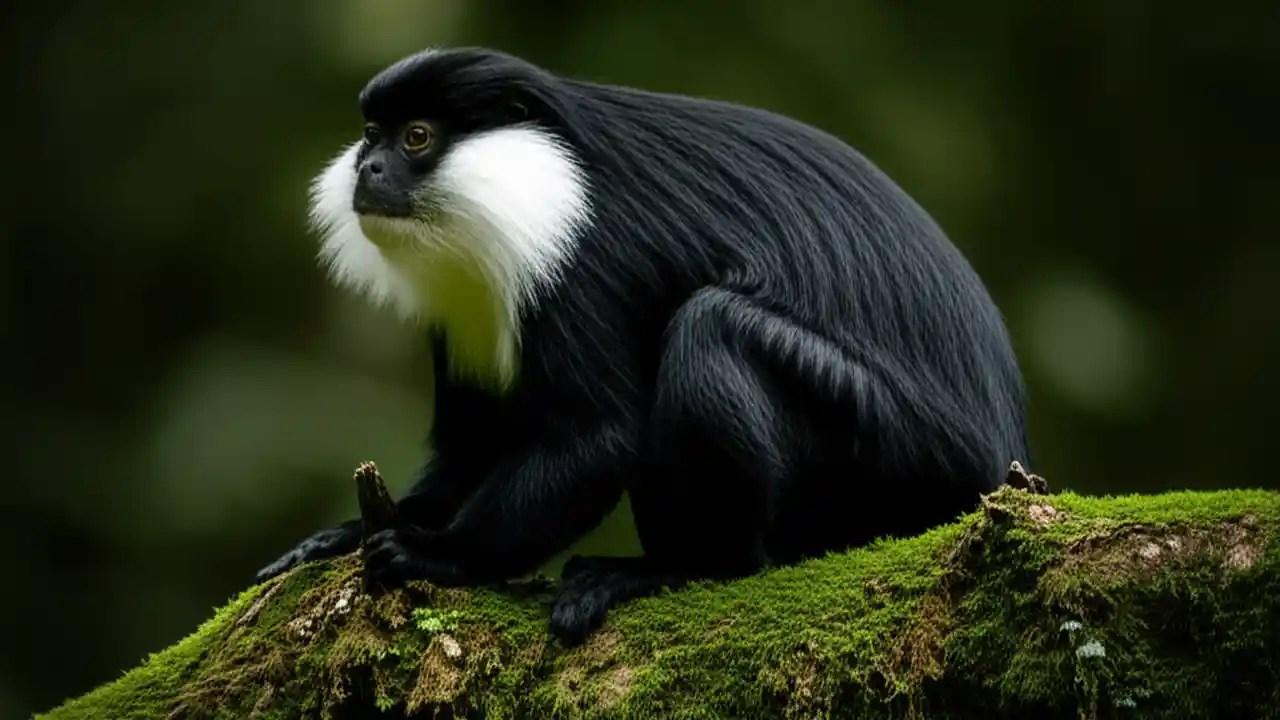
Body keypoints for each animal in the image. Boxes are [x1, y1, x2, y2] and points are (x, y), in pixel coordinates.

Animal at [255, 46, 1031, 646]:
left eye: (416, 138)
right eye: (371, 134)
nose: (367, 170)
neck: (549, 177)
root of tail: (998, 467)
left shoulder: (584, 253)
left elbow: (600, 438)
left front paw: (436, 555)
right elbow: (472, 444)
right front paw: (349, 534)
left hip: (895, 454)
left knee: (709, 329)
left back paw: (682, 569)